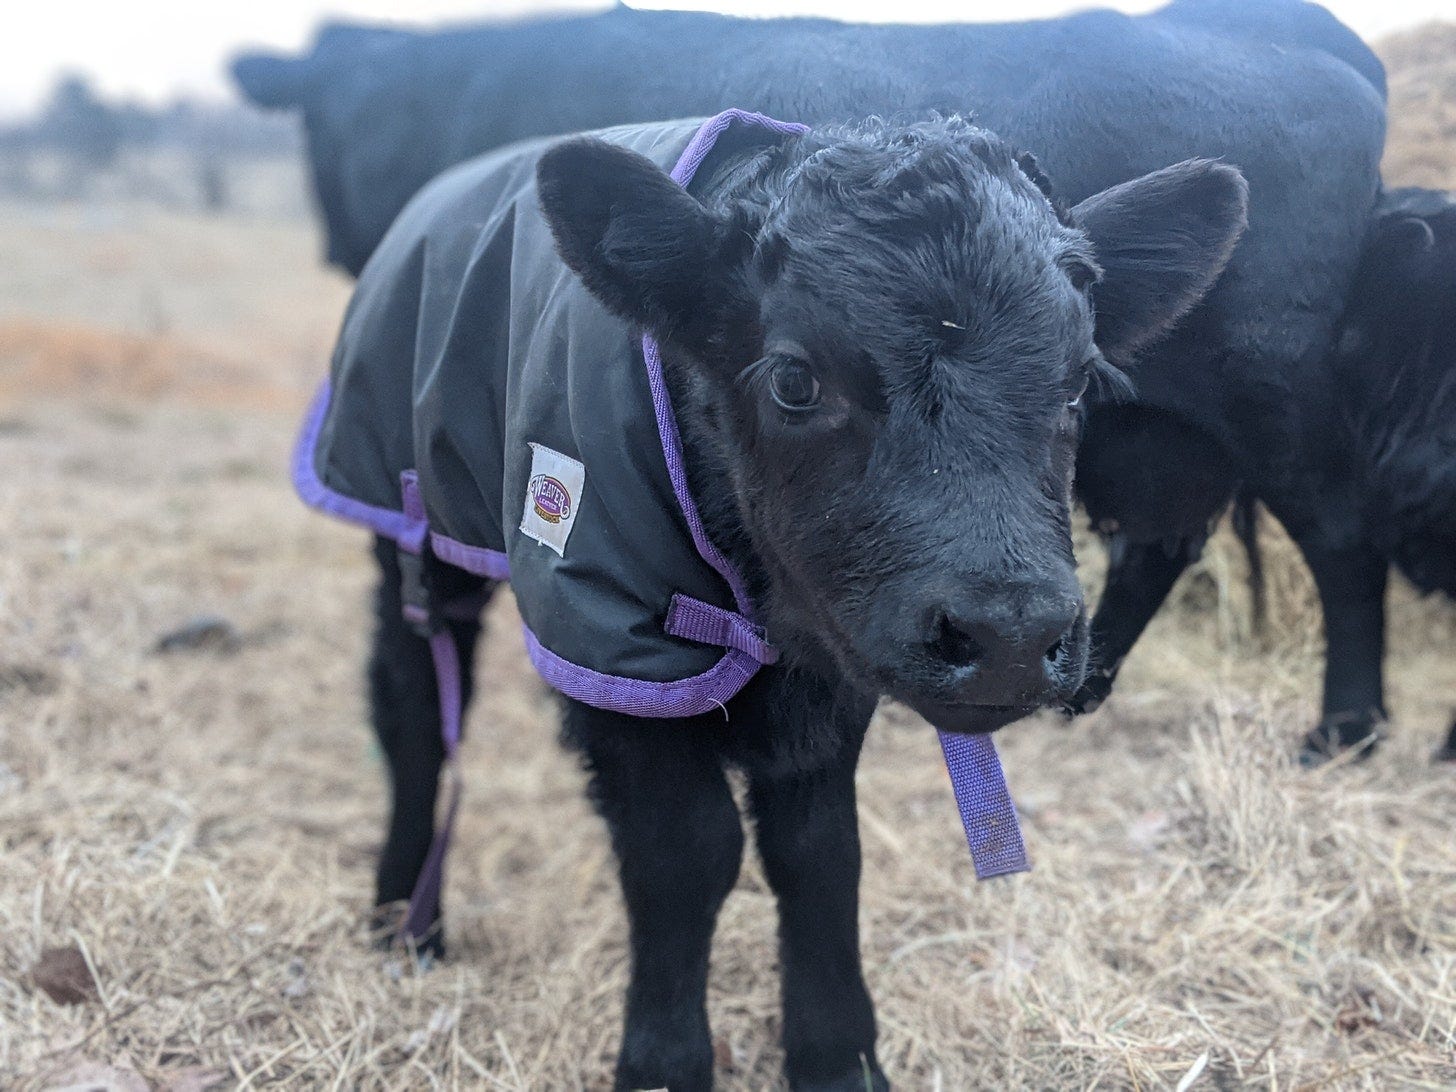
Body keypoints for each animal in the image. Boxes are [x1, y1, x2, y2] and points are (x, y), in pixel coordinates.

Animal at [234, 1, 1396, 763]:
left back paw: (1346, 727)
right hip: (1166, 426)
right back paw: (1086, 688)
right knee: (1158, 544)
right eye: (326, 110)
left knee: (1341, 537)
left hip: (1276, 396)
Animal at [299, 108, 1247, 1090]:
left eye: (1079, 383)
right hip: (410, 519)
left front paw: (839, 1056)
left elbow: (820, 852)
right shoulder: (610, 638)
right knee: (413, 703)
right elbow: (685, 854)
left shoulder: (831, 655)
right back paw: (405, 916)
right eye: (795, 381)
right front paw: (665, 1064)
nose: (1011, 634)